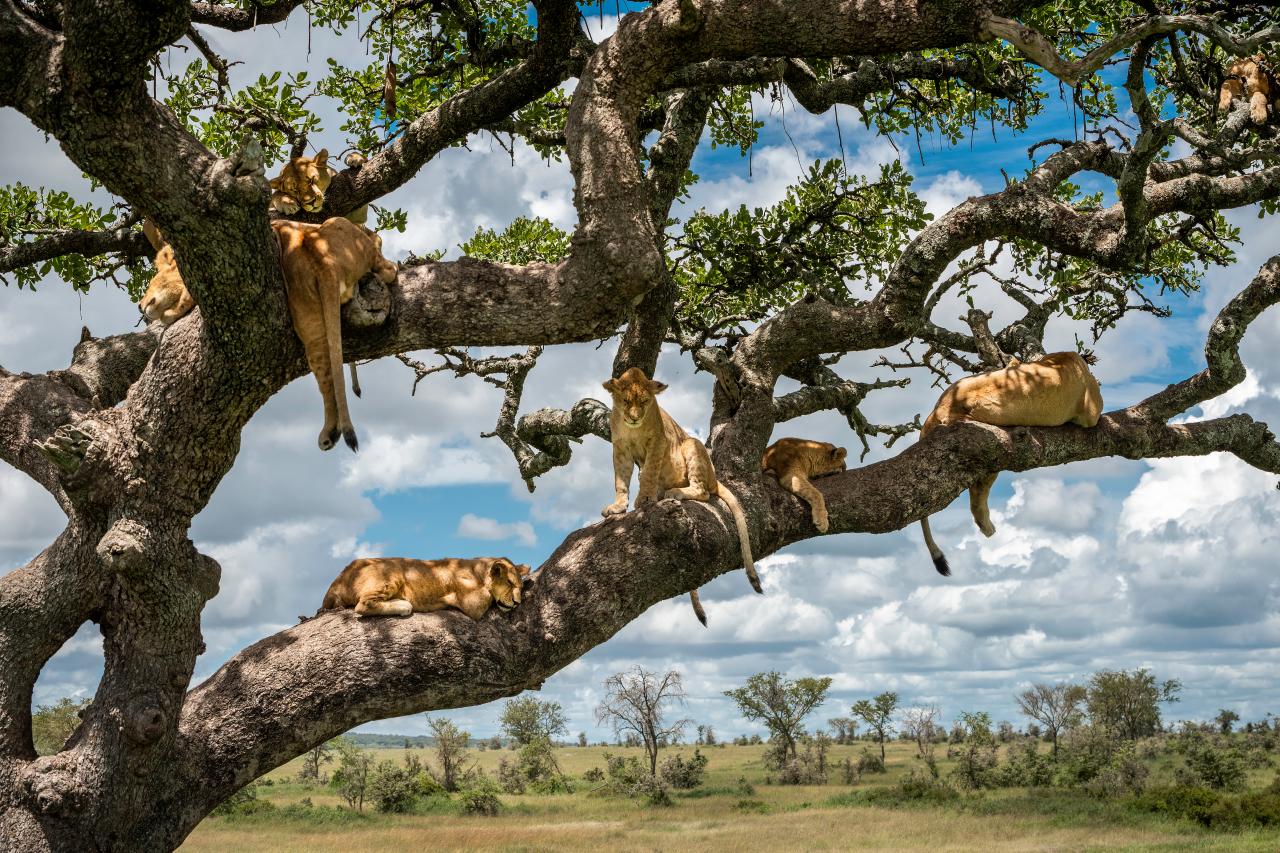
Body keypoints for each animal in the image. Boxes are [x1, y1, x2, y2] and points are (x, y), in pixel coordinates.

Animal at [321, 556, 533, 619]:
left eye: (519, 586)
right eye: (509, 583)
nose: (517, 602)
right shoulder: (472, 604)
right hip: (391, 572)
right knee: (362, 605)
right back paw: (403, 605)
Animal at [601, 367, 760, 626]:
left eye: (644, 402)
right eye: (626, 401)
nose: (634, 418)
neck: (632, 429)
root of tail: (716, 479)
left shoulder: (658, 442)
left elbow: (650, 471)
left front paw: (644, 500)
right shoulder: (620, 448)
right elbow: (620, 481)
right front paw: (618, 506)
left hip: (691, 445)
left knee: (702, 491)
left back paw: (673, 492)